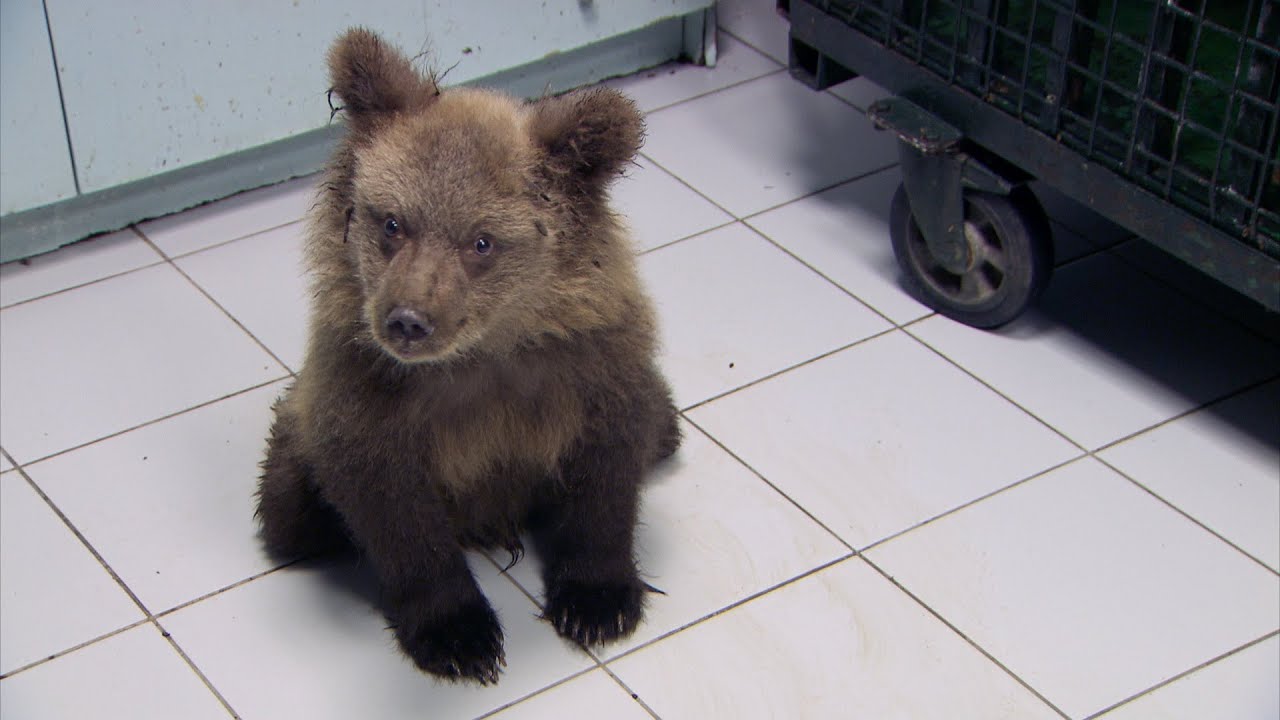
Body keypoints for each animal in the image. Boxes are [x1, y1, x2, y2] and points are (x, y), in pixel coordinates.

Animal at [254, 28, 681, 686]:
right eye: (393, 222)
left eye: (482, 240)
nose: (407, 320)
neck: (484, 351)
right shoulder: (367, 393)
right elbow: (397, 513)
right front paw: (458, 634)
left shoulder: (591, 368)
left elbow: (607, 474)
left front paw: (597, 601)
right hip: (292, 458)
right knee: (287, 516)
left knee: (665, 430)